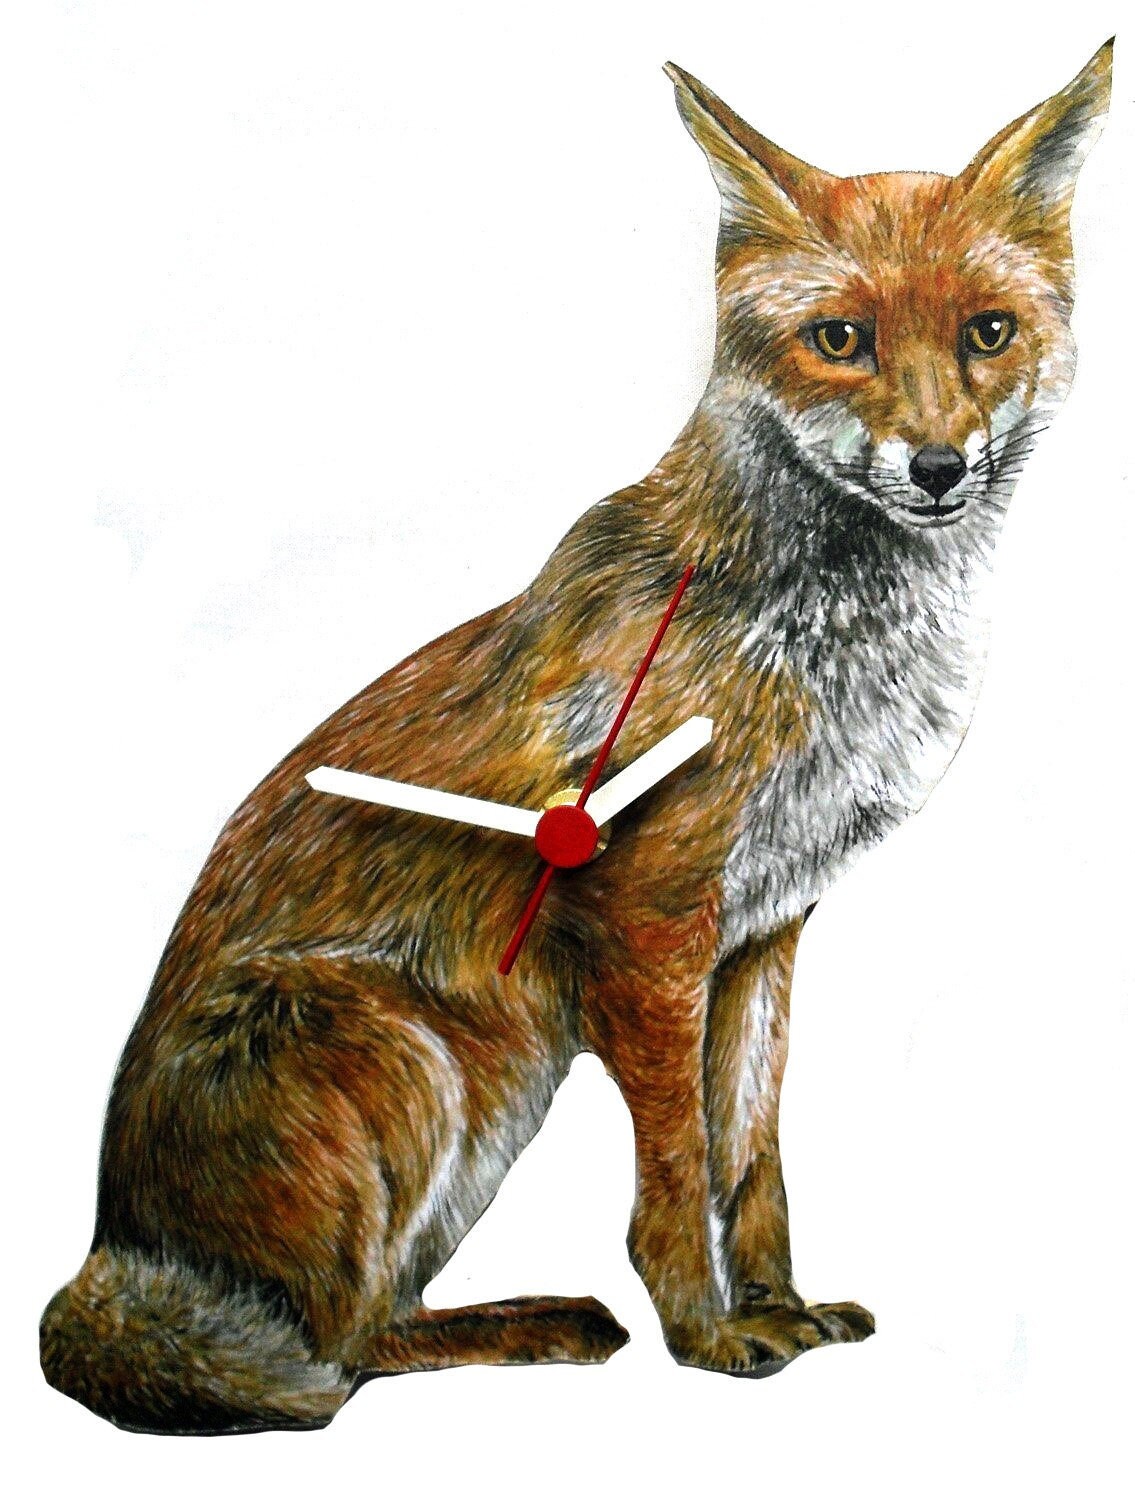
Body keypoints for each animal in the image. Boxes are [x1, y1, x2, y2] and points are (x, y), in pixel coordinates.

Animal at [42, 42, 1112, 1433]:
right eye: (840, 340)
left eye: (988, 332)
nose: (938, 468)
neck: (822, 644)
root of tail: (108, 1250)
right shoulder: (647, 922)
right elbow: (676, 1177)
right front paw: (708, 1338)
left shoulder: (762, 934)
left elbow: (750, 1161)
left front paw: (780, 1306)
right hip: (416, 1061)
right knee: (334, 1356)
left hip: (497, 1092)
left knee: (369, 1325)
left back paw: (530, 1323)